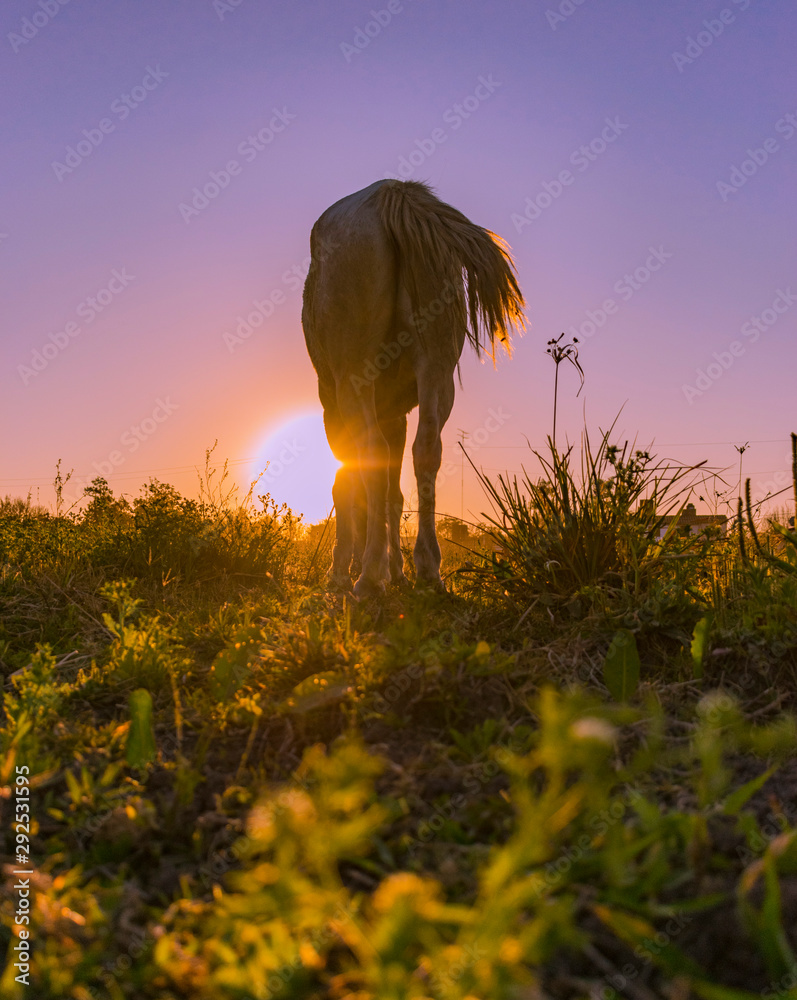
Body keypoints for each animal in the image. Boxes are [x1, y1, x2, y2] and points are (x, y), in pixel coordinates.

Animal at [301, 179, 525, 596]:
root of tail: (392, 193)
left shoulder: (333, 409)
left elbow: (348, 485)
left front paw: (343, 570)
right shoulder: (397, 416)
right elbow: (392, 492)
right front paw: (398, 570)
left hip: (355, 376)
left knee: (373, 455)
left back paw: (369, 575)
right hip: (437, 374)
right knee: (427, 451)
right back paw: (427, 568)